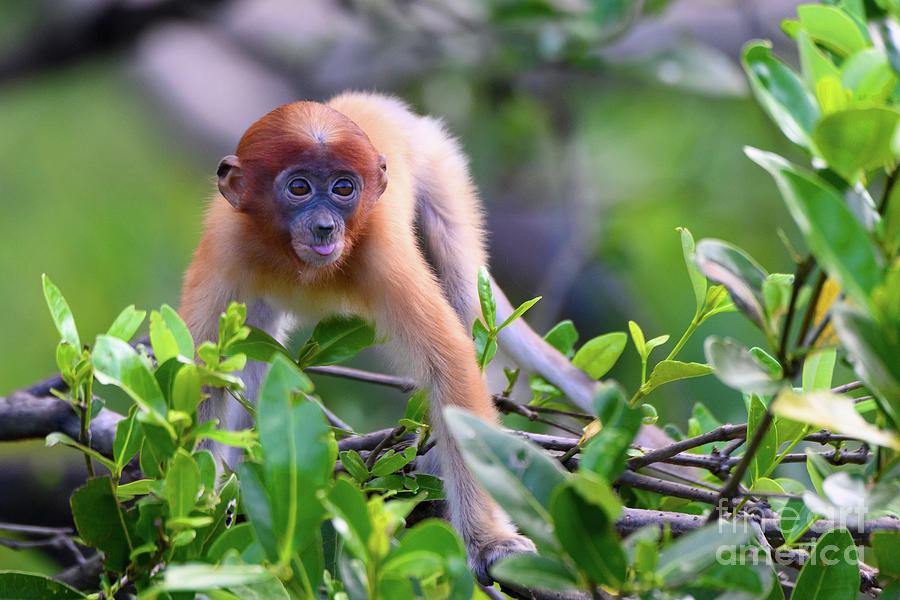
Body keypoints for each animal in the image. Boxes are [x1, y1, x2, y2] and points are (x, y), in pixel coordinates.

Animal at [178, 92, 603, 583]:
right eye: (298, 188)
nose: (325, 226)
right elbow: (201, 377)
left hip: (441, 163)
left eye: (344, 189)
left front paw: (489, 543)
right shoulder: (225, 245)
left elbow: (449, 361)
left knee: (464, 291)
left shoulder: (380, 249)